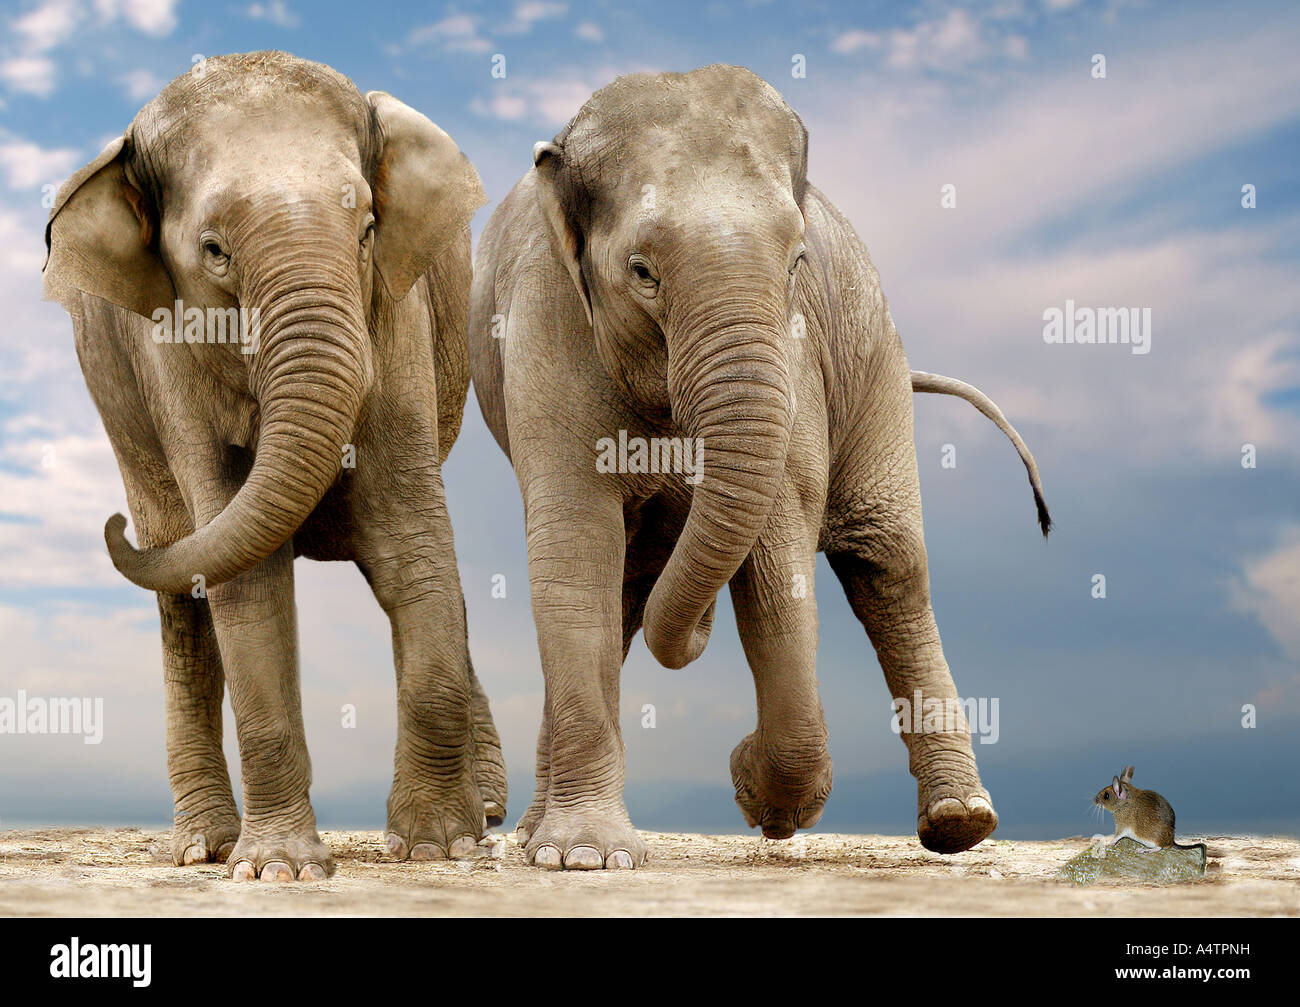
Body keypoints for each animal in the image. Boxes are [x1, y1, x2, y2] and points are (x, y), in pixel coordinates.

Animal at [43, 52, 505, 880]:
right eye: (214, 251)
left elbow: (413, 545)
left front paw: (433, 845)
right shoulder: (166, 346)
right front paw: (276, 869)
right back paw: (202, 846)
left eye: (367, 228)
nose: (110, 522)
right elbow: (245, 578)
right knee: (184, 588)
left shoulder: (398, 312)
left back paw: (483, 815)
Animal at [467, 64, 1050, 870]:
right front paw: (584, 857)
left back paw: (960, 823)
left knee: (889, 564)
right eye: (641, 271)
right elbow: (576, 541)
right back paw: (530, 835)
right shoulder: (546, 317)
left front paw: (758, 796)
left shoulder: (796, 344)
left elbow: (778, 546)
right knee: (618, 598)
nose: (737, 764)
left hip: (876, 361)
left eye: (797, 261)